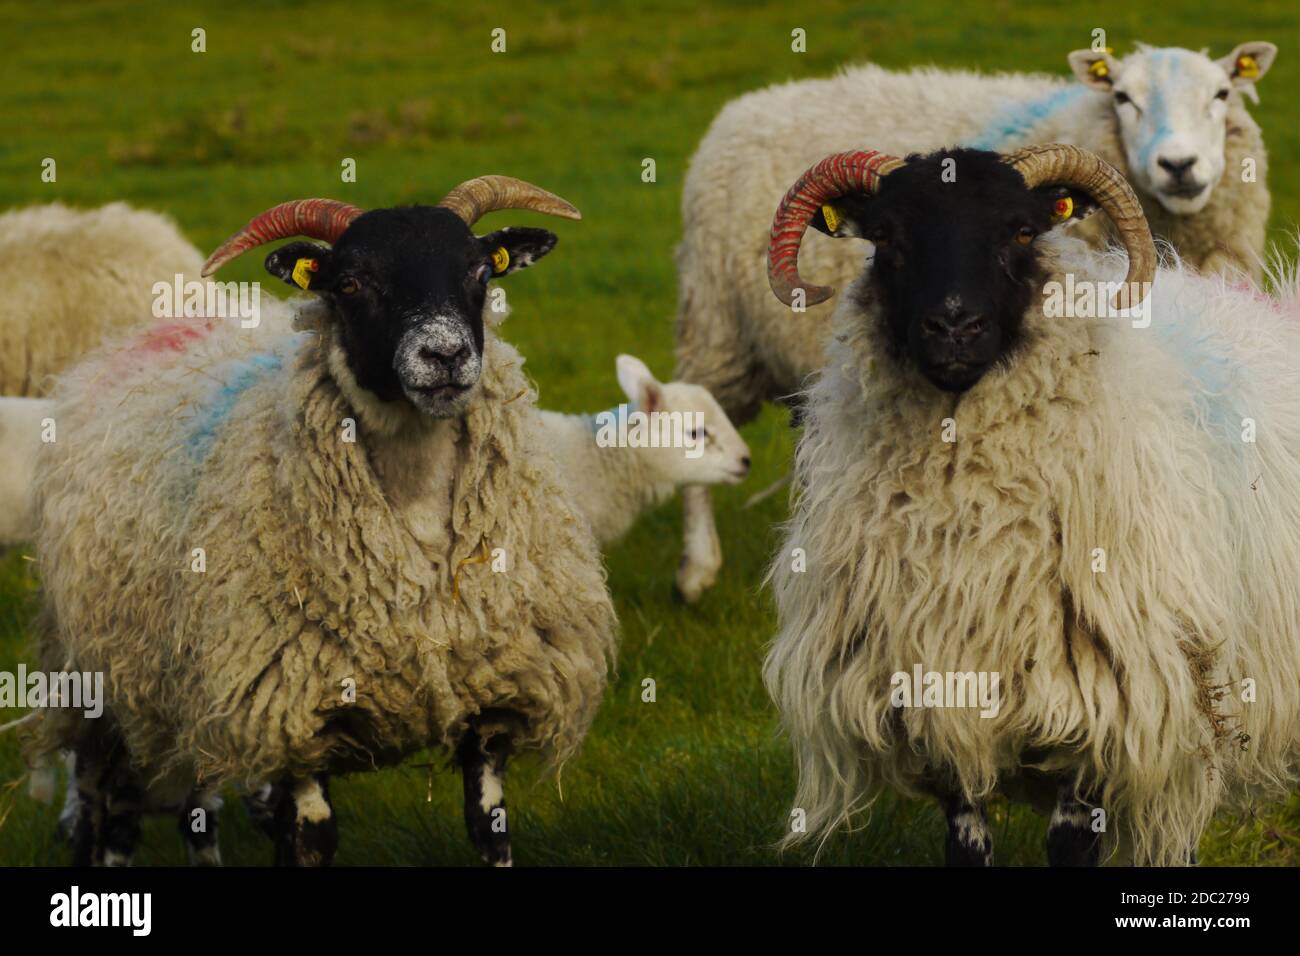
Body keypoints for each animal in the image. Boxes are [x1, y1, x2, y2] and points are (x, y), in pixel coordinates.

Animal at [22, 177, 617, 867]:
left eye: (478, 271)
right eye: (352, 283)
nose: (445, 355)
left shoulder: (492, 705)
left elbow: (491, 830)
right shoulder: (293, 719)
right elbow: (308, 839)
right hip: (105, 681)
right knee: (107, 808)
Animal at [671, 41, 1277, 603]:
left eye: (1222, 94)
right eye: (1123, 98)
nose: (1179, 166)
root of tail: (745, 106)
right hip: (718, 331)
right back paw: (696, 571)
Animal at [761, 143, 1300, 866]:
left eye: (1019, 231)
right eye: (886, 238)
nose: (953, 326)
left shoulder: (1106, 714)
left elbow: (1070, 846)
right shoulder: (938, 702)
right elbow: (966, 844)